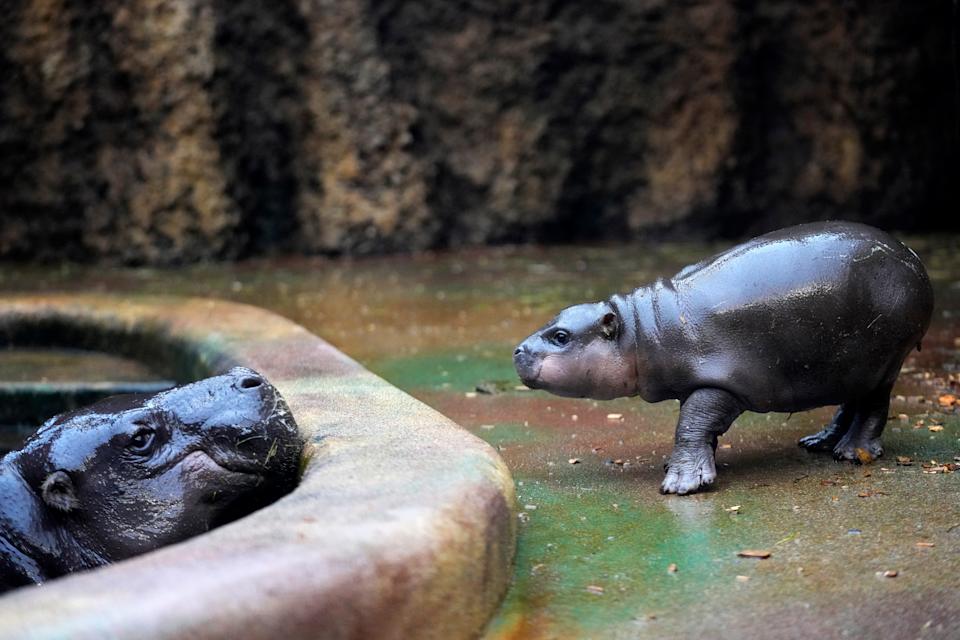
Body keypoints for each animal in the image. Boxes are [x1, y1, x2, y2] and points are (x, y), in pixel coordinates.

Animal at [514, 222, 934, 495]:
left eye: (561, 336)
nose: (517, 350)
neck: (640, 330)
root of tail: (912, 256)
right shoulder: (694, 384)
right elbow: (699, 428)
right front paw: (685, 467)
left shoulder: (720, 383)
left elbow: (691, 424)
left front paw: (680, 484)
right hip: (847, 364)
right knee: (850, 402)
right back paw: (817, 442)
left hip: (883, 358)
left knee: (873, 406)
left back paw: (851, 453)